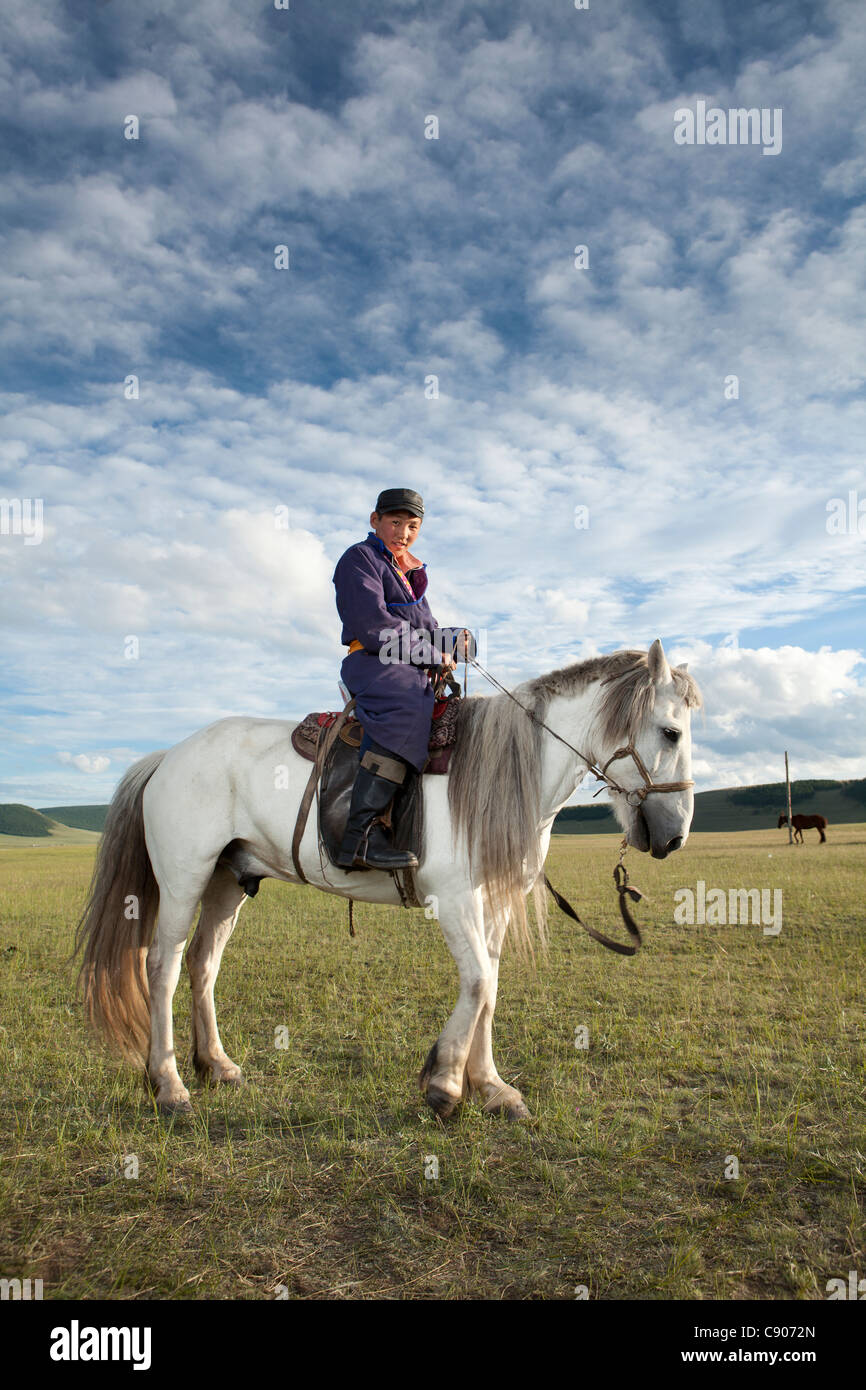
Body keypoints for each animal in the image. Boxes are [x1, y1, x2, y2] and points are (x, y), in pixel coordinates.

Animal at [75, 639, 701, 1121]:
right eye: (671, 733)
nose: (676, 837)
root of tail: (167, 756)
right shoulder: (454, 899)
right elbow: (479, 982)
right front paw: (445, 1085)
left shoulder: (492, 902)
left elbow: (492, 986)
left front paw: (491, 1087)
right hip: (185, 879)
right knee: (163, 967)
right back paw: (169, 1086)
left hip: (230, 881)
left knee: (204, 964)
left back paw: (216, 1066)